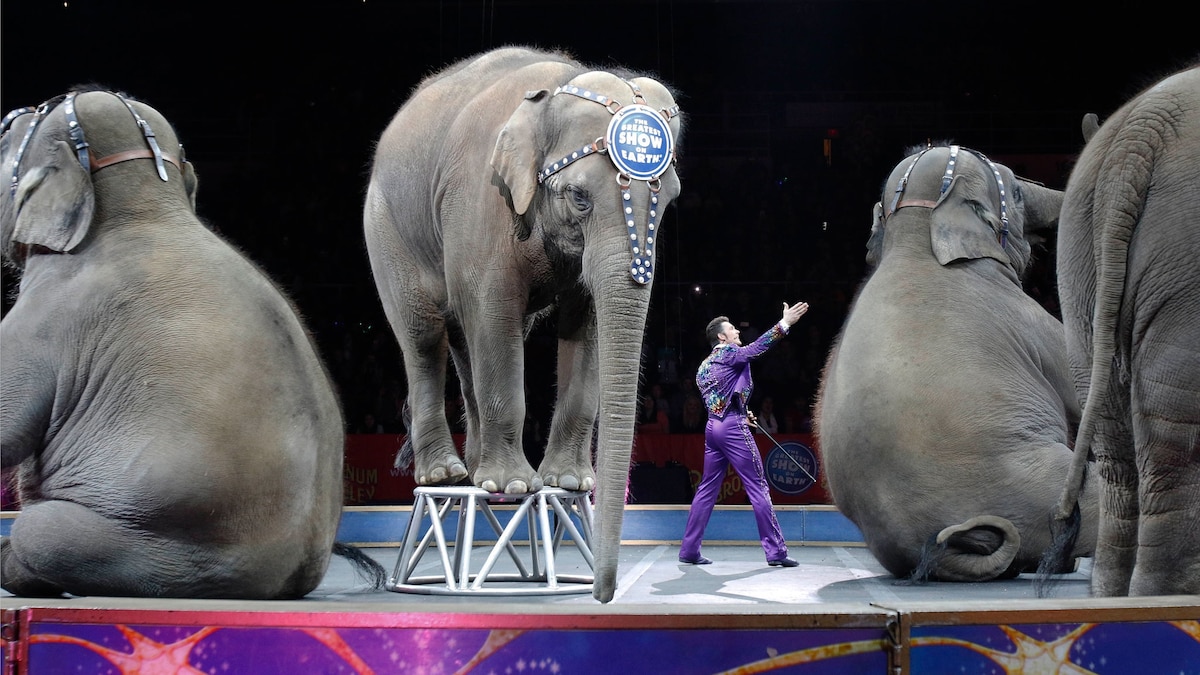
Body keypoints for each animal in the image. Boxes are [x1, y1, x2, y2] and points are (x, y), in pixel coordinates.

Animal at [0, 87, 383, 599]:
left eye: (13, 136)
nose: (8, 120)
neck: (146, 203)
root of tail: (291, 575)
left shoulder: (52, 312)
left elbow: (7, 430)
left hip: (155, 547)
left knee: (37, 532)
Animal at [363, 46, 683, 603]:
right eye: (579, 197)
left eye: (669, 201)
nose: (603, 594)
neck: (553, 95)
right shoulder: (480, 201)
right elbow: (494, 311)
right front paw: (512, 488)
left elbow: (587, 325)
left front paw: (569, 485)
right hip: (386, 230)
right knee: (425, 337)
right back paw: (448, 476)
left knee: (464, 347)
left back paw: (474, 471)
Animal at [1041, 64, 1200, 597]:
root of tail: (1141, 133)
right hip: (1186, 265)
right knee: (1173, 432)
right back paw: (1164, 595)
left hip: (1079, 263)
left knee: (1112, 433)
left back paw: (1111, 596)